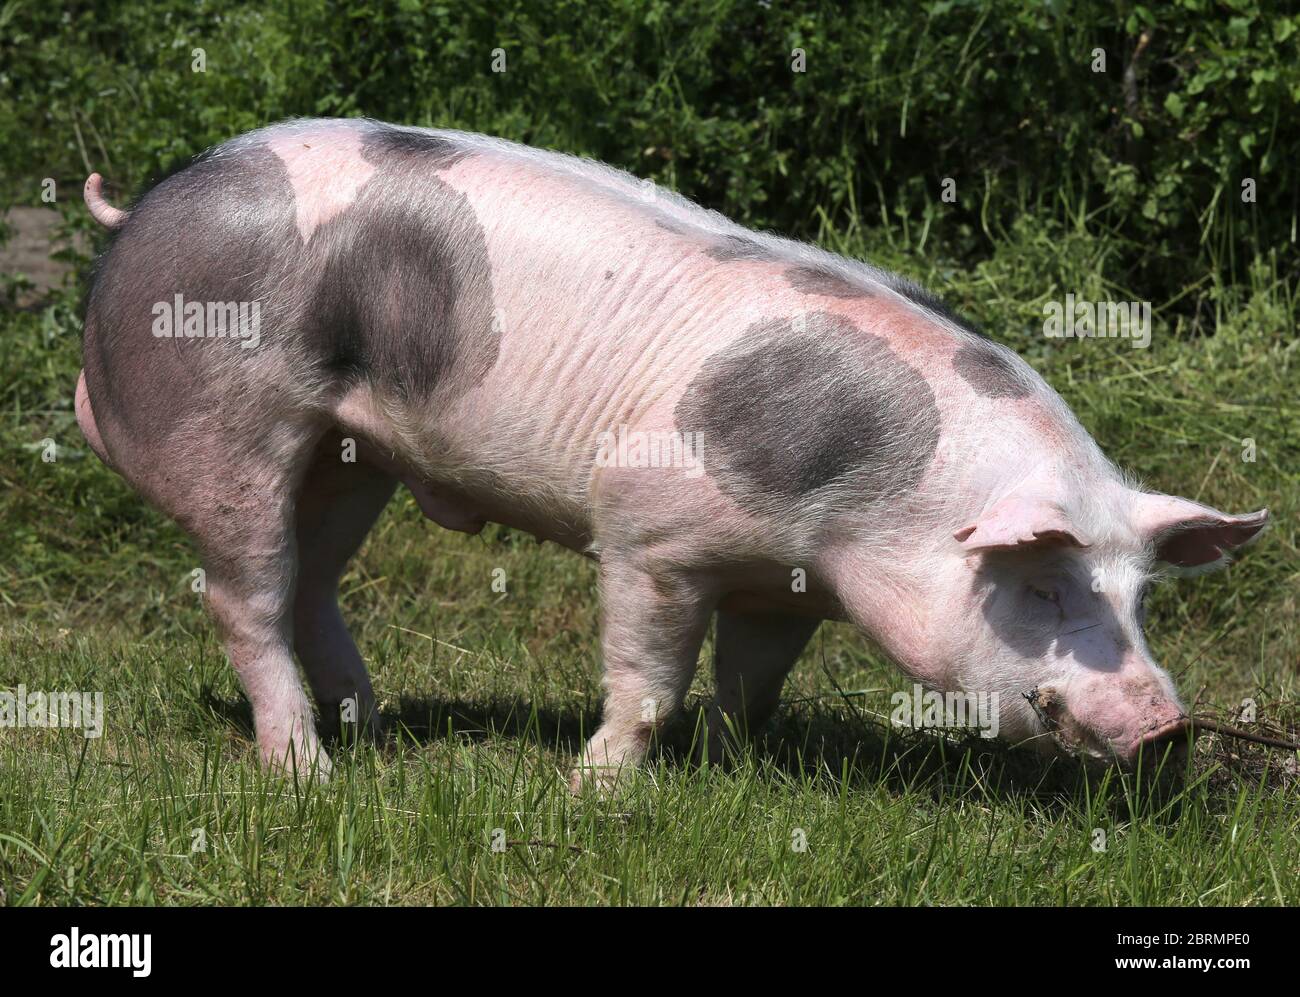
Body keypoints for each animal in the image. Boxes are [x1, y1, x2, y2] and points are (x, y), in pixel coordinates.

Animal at [76, 117, 1268, 787]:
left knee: (314, 581)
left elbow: (754, 685)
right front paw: (596, 793)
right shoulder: (649, 536)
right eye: (1043, 584)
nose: (1166, 722)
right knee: (245, 595)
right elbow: (647, 682)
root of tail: (141, 212)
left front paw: (742, 772)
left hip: (351, 450)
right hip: (230, 427)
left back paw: (377, 732)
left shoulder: (786, 584)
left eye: (1139, 596)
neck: (891, 509)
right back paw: (309, 776)